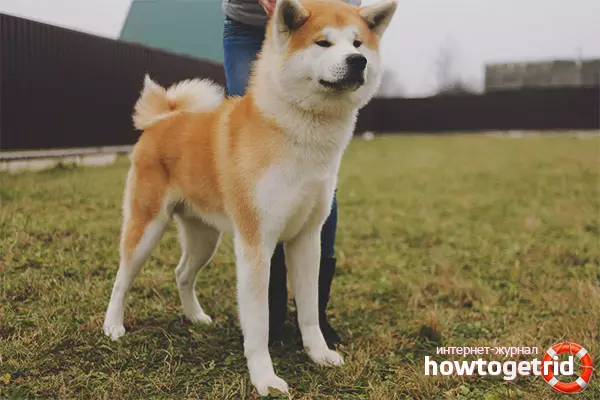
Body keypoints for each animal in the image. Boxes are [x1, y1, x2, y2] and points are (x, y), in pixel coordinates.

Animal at [104, 0, 398, 394]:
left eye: (357, 43)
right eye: (322, 43)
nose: (357, 61)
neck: (299, 136)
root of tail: (164, 120)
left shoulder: (307, 238)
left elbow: (308, 309)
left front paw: (319, 354)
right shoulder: (256, 243)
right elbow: (257, 324)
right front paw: (265, 378)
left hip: (205, 237)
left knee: (182, 273)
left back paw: (195, 317)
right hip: (146, 227)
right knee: (122, 278)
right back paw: (113, 326)